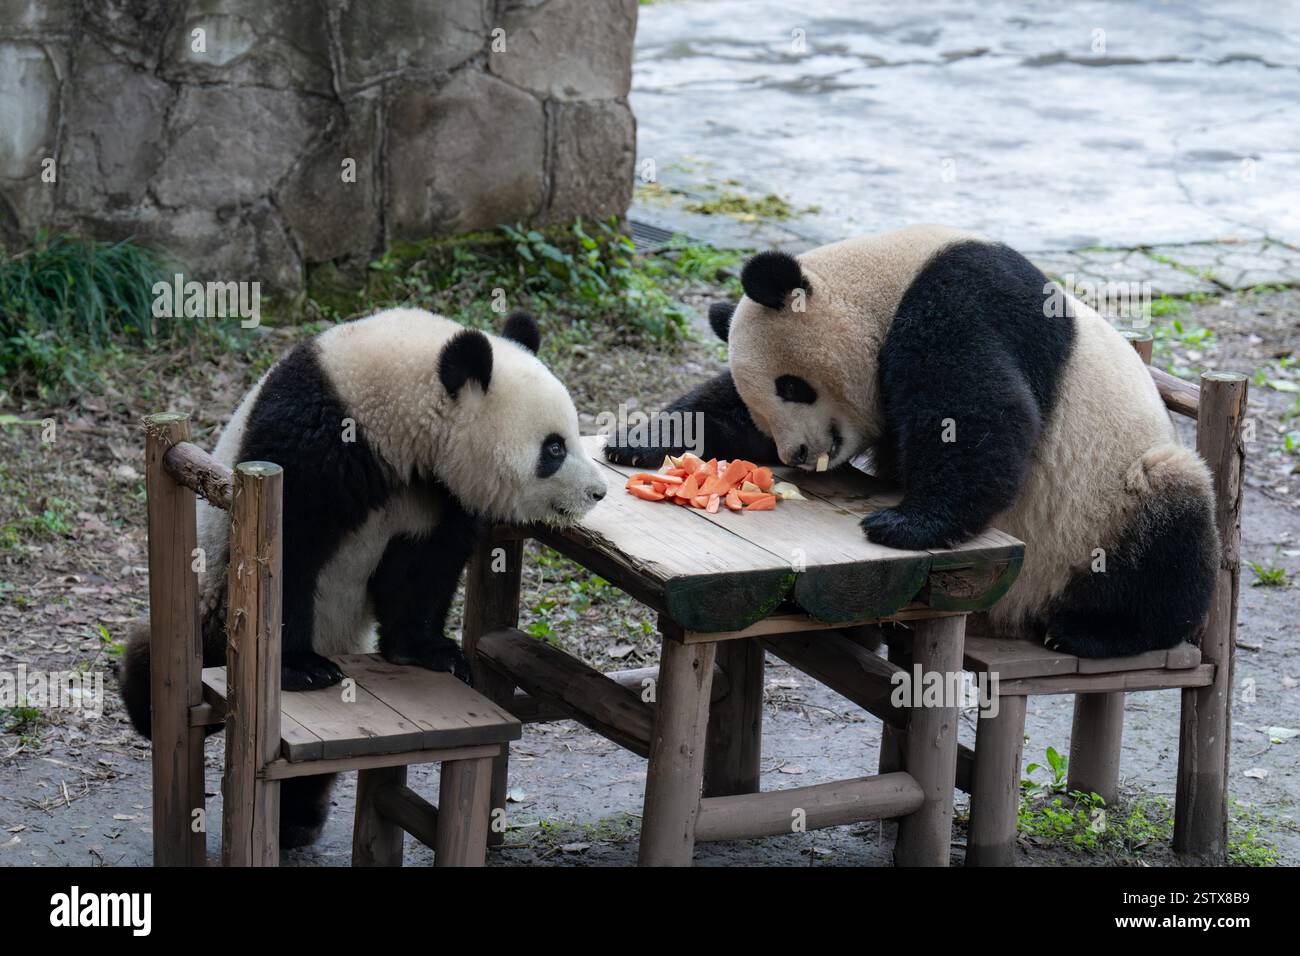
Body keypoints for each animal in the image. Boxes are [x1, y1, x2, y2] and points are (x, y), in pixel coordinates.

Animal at [121, 307, 606, 847]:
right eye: (554, 448)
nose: (598, 491)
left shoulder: (435, 489)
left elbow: (426, 566)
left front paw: (431, 651)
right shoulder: (319, 432)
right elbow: (292, 547)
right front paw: (300, 668)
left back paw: (295, 820)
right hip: (216, 587)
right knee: (173, 647)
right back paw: (147, 707)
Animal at [605, 225, 1219, 658]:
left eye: (792, 385)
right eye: (767, 402)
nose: (795, 454)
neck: (885, 279)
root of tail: (1010, 613)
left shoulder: (963, 298)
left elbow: (977, 410)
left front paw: (905, 524)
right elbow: (723, 410)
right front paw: (640, 440)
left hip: (1105, 510)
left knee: (1171, 522)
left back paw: (1093, 632)